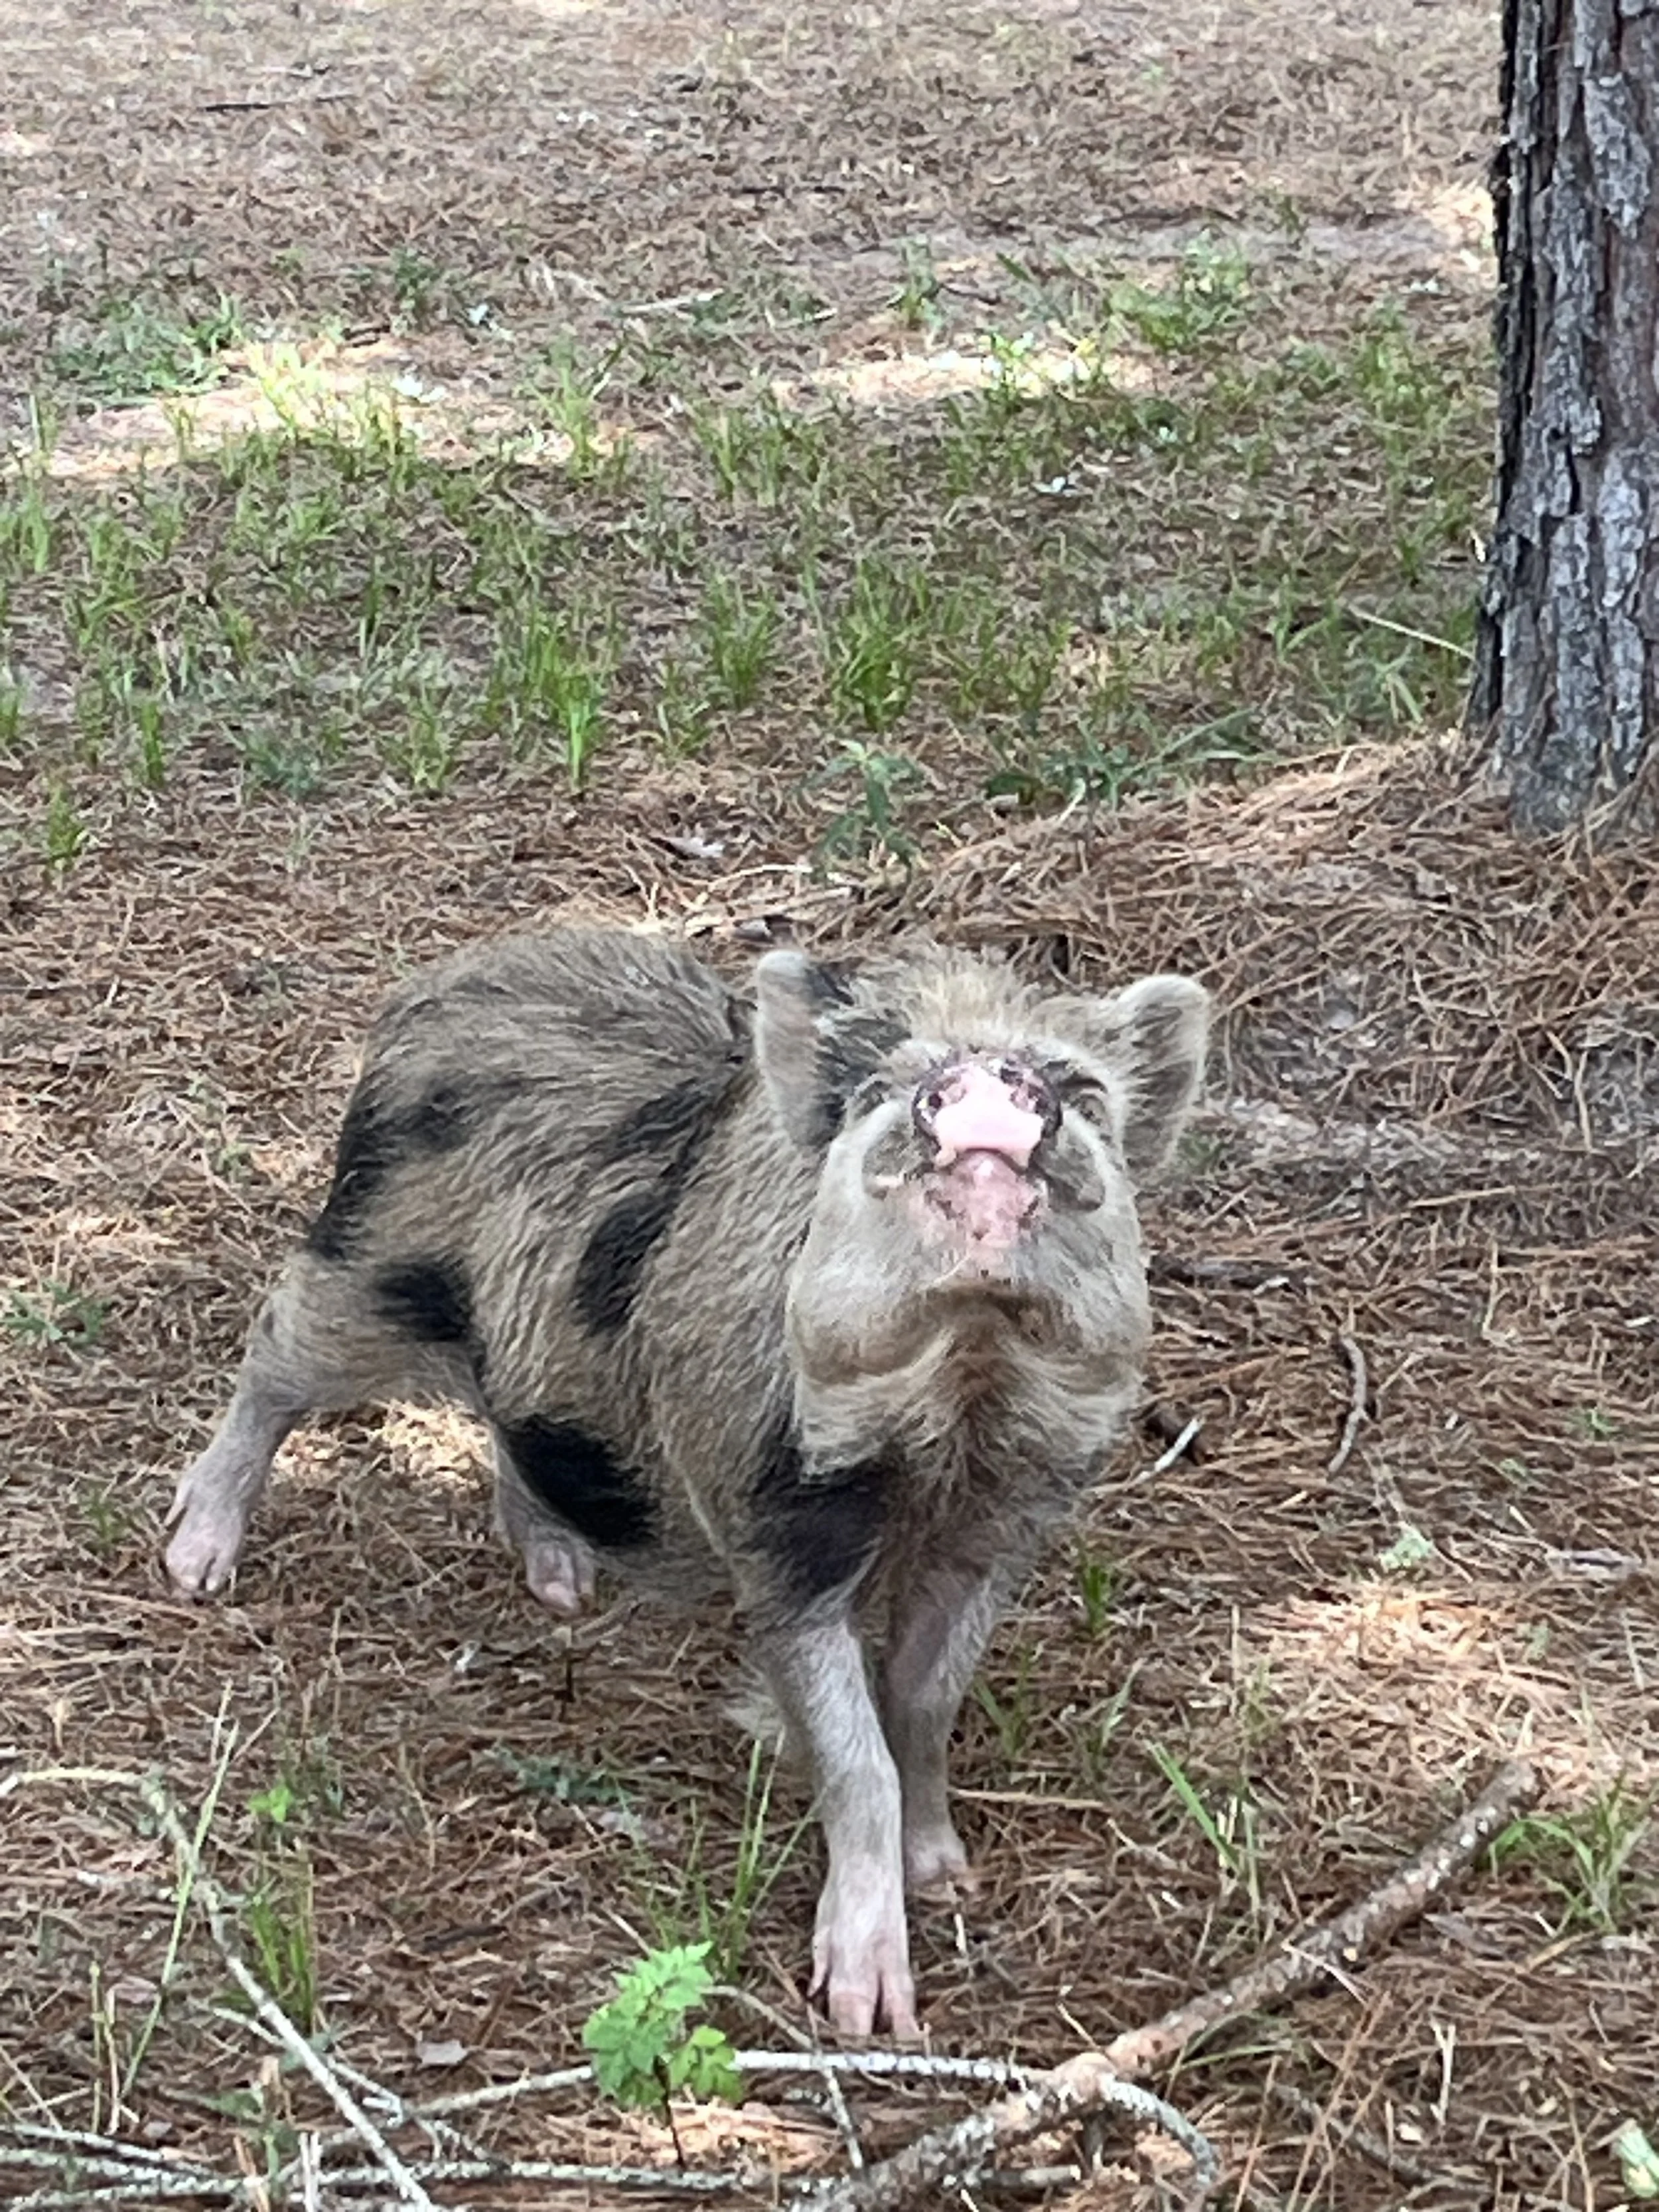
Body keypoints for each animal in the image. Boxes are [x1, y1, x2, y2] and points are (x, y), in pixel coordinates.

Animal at [164, 924, 1208, 2038]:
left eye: (1080, 1087)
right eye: (882, 1084)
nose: (985, 1081)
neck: (953, 1408)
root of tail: (441, 984)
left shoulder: (1005, 1523)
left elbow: (926, 1700)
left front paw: (948, 1879)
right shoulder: (773, 1521)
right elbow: (857, 1755)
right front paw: (866, 2015)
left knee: (507, 1417)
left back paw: (563, 1586)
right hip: (372, 1264)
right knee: (276, 1345)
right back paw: (196, 1563)